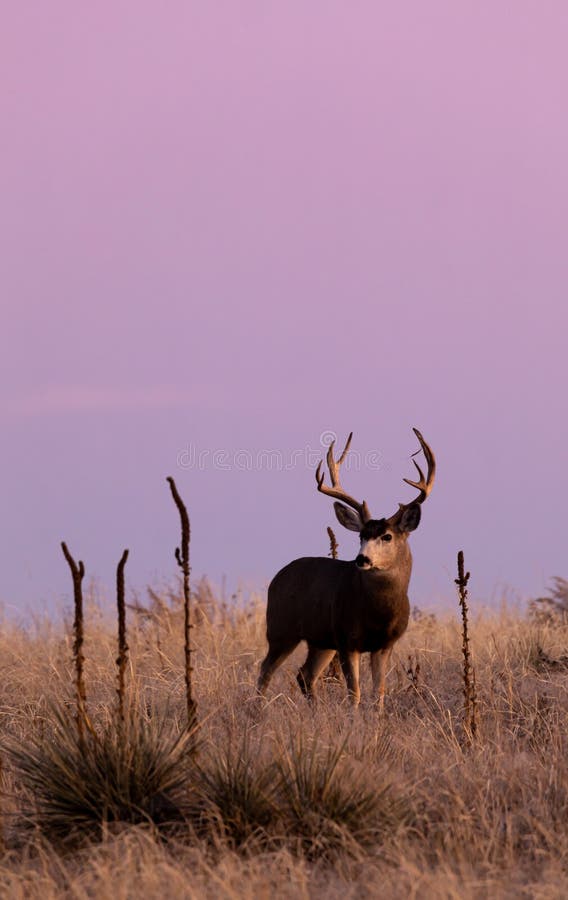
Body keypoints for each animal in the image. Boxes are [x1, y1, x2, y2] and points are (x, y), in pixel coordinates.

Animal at [257, 428, 435, 710]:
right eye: (361, 535)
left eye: (387, 536)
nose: (362, 559)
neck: (378, 613)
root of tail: (279, 576)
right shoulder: (347, 638)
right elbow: (355, 692)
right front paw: (354, 719)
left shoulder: (385, 644)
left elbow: (379, 692)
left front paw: (377, 719)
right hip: (280, 628)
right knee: (265, 671)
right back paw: (257, 710)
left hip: (320, 640)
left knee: (305, 674)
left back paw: (314, 711)